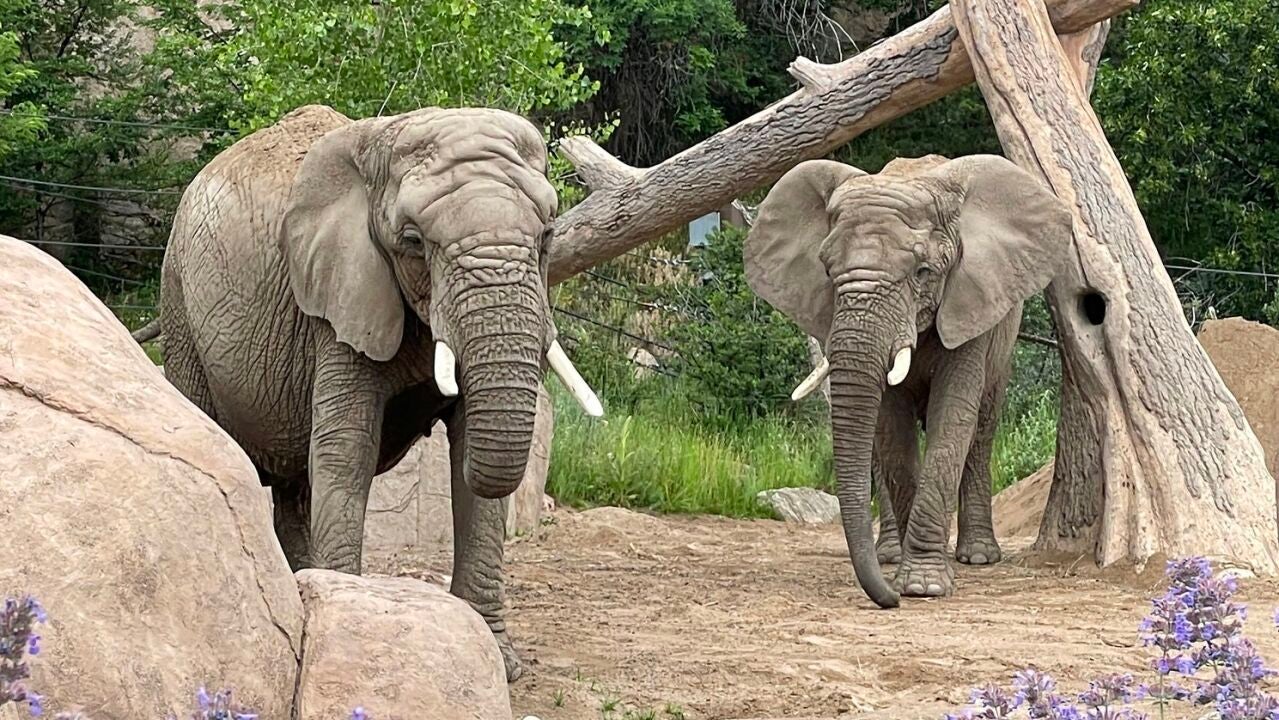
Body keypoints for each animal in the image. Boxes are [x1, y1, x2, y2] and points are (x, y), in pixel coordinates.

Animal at [158, 104, 603, 678]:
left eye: (547, 236)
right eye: (413, 241)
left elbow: (470, 456)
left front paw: (501, 661)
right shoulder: (338, 299)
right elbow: (347, 450)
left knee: (296, 488)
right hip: (179, 302)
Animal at [744, 153, 1073, 608]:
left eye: (922, 272)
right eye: (827, 270)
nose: (888, 600)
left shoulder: (970, 302)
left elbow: (953, 419)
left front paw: (922, 587)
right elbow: (891, 433)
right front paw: (909, 578)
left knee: (982, 430)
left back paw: (977, 556)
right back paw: (888, 555)